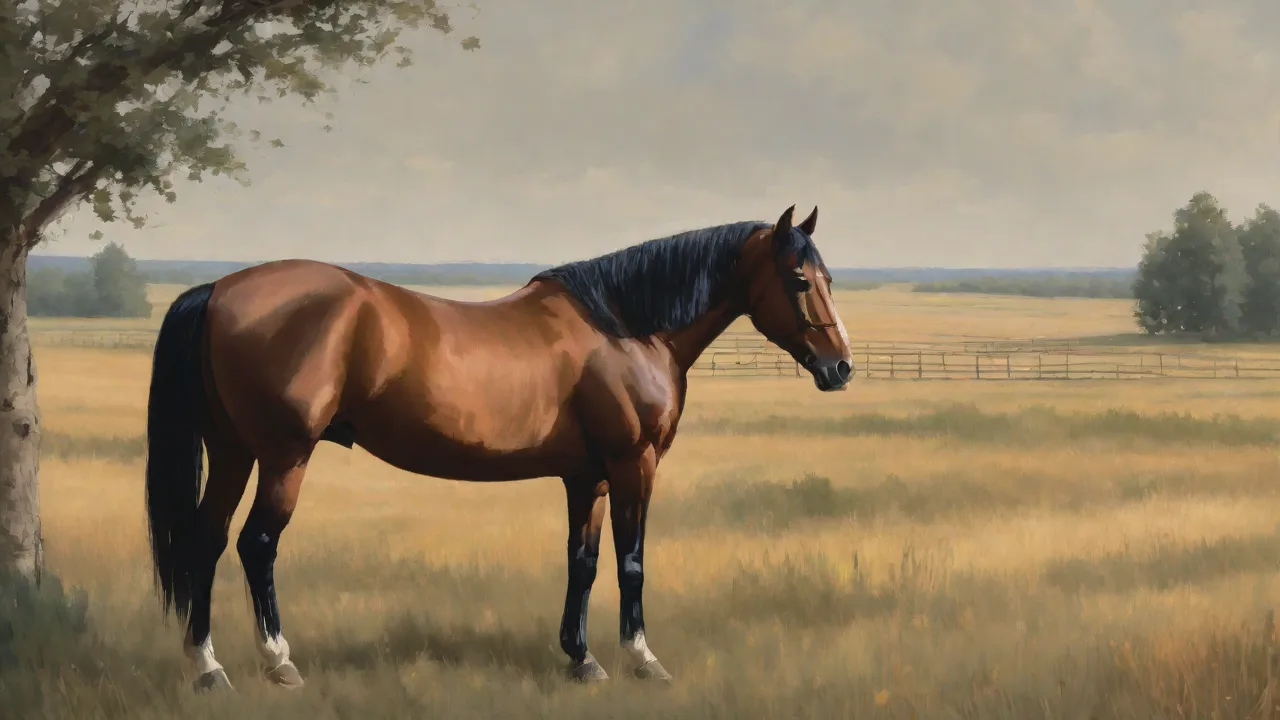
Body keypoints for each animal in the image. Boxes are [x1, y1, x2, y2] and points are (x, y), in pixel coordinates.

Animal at [143, 204, 854, 692]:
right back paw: (278, 662)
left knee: (206, 542)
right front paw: (642, 659)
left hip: (233, 452)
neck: (626, 325)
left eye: (826, 277)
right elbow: (631, 562)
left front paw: (581, 658)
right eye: (798, 280)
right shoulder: (634, 466)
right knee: (256, 545)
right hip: (284, 456)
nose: (839, 367)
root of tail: (219, 290)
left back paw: (207, 667)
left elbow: (582, 562)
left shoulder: (588, 477)